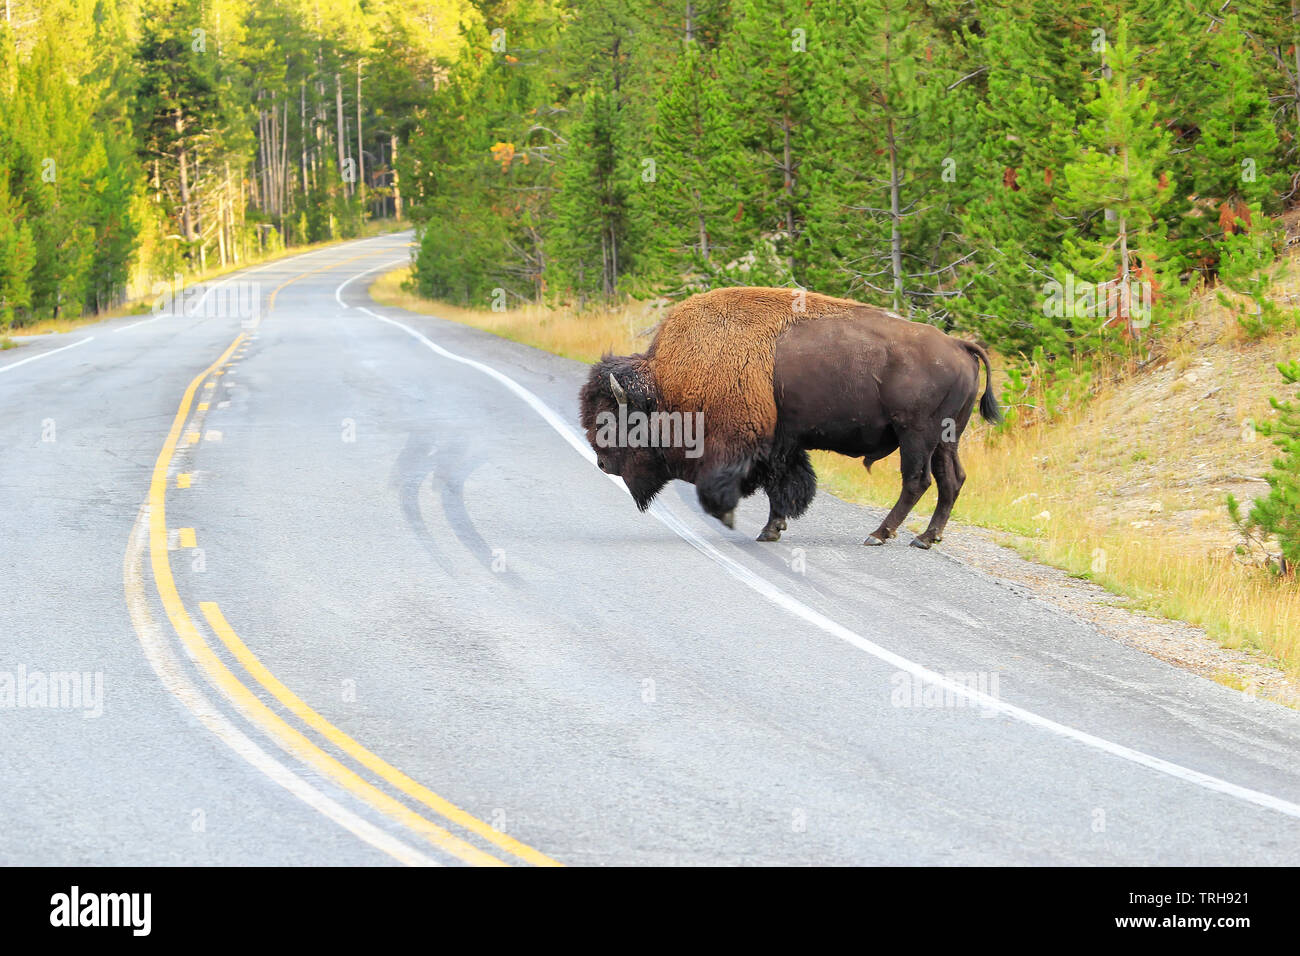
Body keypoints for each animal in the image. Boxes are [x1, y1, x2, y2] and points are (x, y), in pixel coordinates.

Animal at [579, 287, 999, 548]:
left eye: (614, 420)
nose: (602, 463)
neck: (670, 381)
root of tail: (958, 344)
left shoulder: (745, 443)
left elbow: (753, 485)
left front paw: (738, 521)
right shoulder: (782, 443)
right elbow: (783, 485)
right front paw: (772, 529)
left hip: (916, 434)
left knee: (917, 481)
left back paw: (879, 535)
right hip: (946, 438)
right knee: (951, 480)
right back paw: (925, 538)